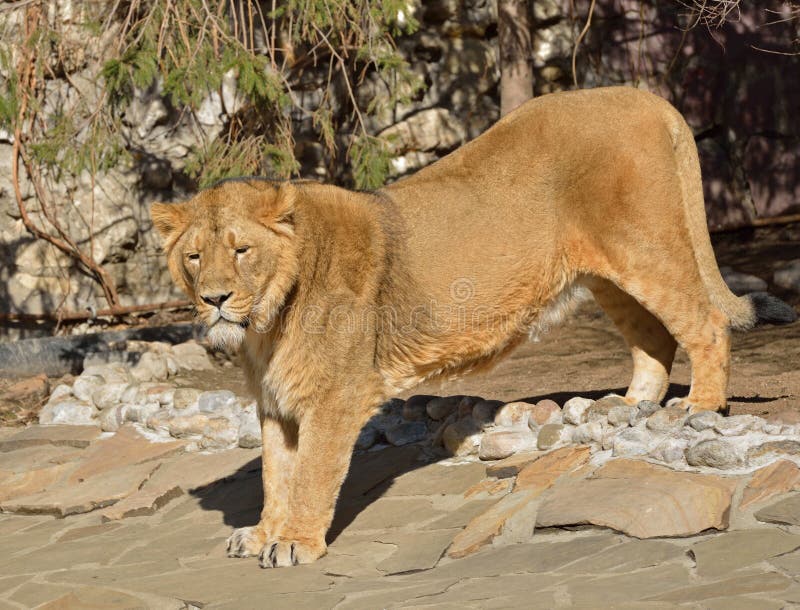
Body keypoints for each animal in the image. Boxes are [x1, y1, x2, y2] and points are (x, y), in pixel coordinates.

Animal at [151, 86, 796, 568]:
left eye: (240, 250)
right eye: (194, 257)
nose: (213, 299)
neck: (266, 323)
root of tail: (644, 95)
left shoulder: (335, 397)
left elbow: (310, 475)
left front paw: (294, 544)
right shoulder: (277, 403)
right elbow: (275, 475)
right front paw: (263, 534)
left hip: (645, 245)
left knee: (705, 321)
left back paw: (701, 406)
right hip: (605, 272)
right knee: (654, 336)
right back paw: (629, 405)